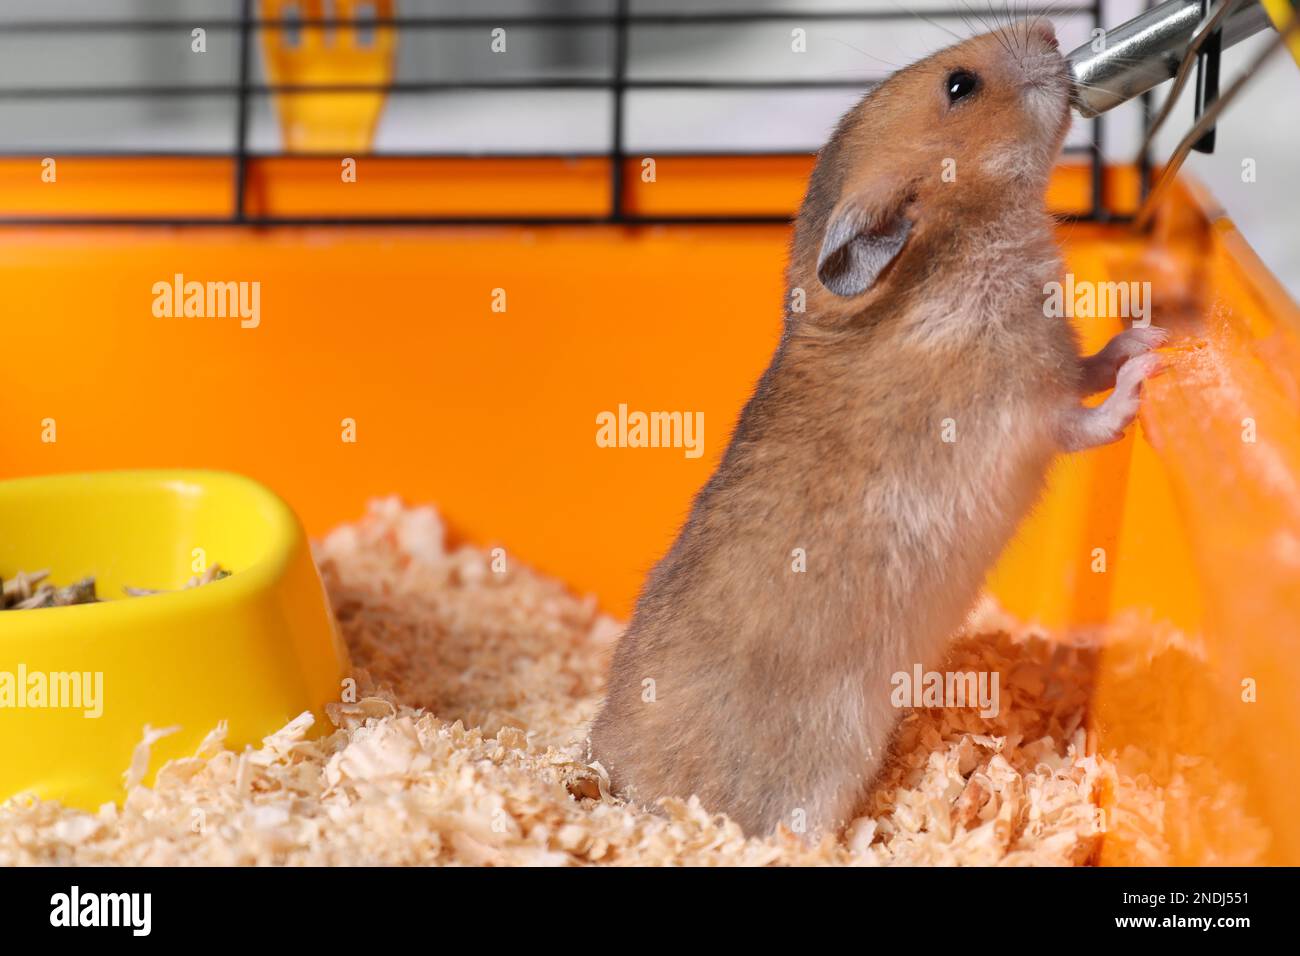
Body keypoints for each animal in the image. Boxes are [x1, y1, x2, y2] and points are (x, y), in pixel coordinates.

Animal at [589, 20, 1165, 838]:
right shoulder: (1024, 409)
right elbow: (1090, 417)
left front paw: (1143, 336)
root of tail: (610, 782)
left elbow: (1090, 361)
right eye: (960, 85)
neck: (956, 245)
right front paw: (1144, 374)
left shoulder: (1055, 363)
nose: (1054, 31)